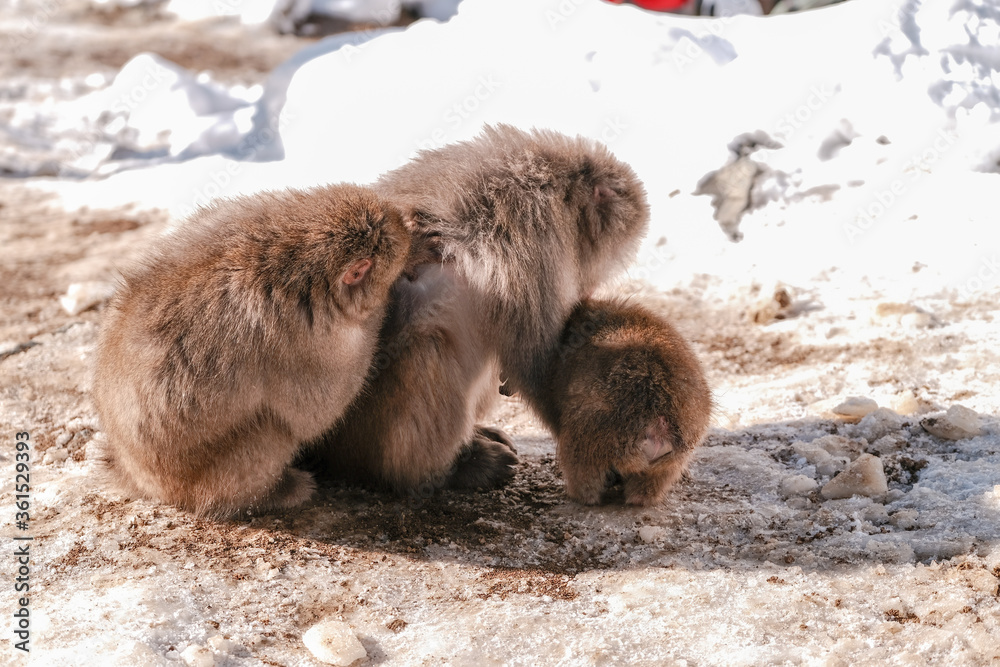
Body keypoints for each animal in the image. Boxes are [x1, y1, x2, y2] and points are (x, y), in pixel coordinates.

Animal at [91, 184, 411, 517]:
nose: (406, 223)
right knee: (270, 430)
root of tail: (135, 475)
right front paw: (385, 304)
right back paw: (276, 493)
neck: (292, 257)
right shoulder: (305, 343)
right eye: (367, 265)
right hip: (203, 478)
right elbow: (314, 414)